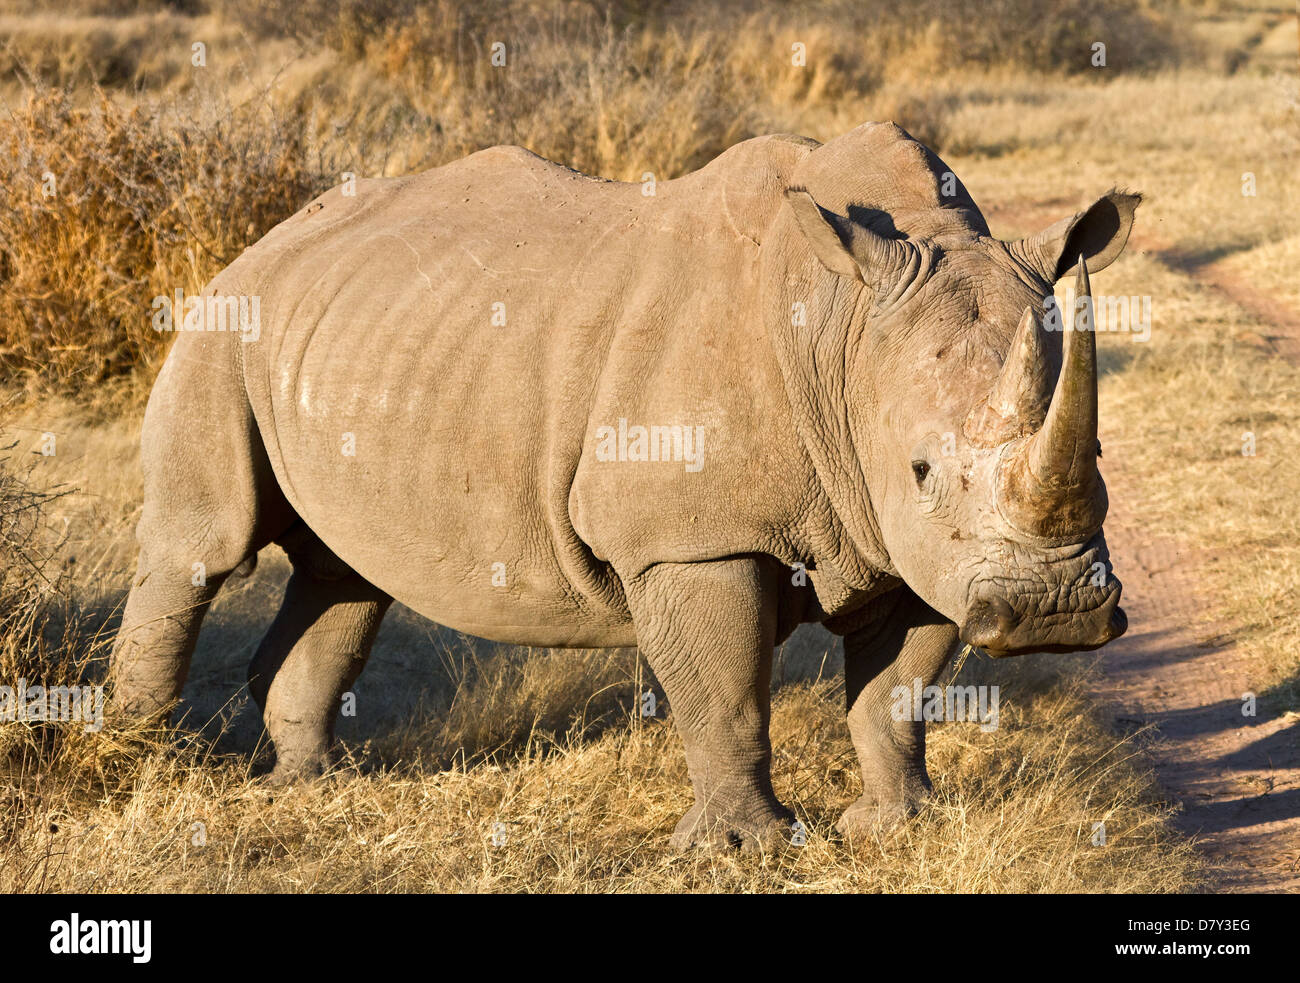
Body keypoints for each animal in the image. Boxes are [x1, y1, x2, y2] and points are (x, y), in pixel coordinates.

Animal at [111, 122, 1137, 851]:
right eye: (924, 468)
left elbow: (900, 691)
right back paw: (141, 762)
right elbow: (724, 693)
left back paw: (311, 783)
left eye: (1100, 463)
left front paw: (900, 826)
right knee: (204, 544)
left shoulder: (908, 541)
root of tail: (268, 233)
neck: (841, 324)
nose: (1052, 613)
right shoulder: (692, 536)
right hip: (221, 321)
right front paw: (744, 850)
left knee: (345, 572)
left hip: (354, 337)